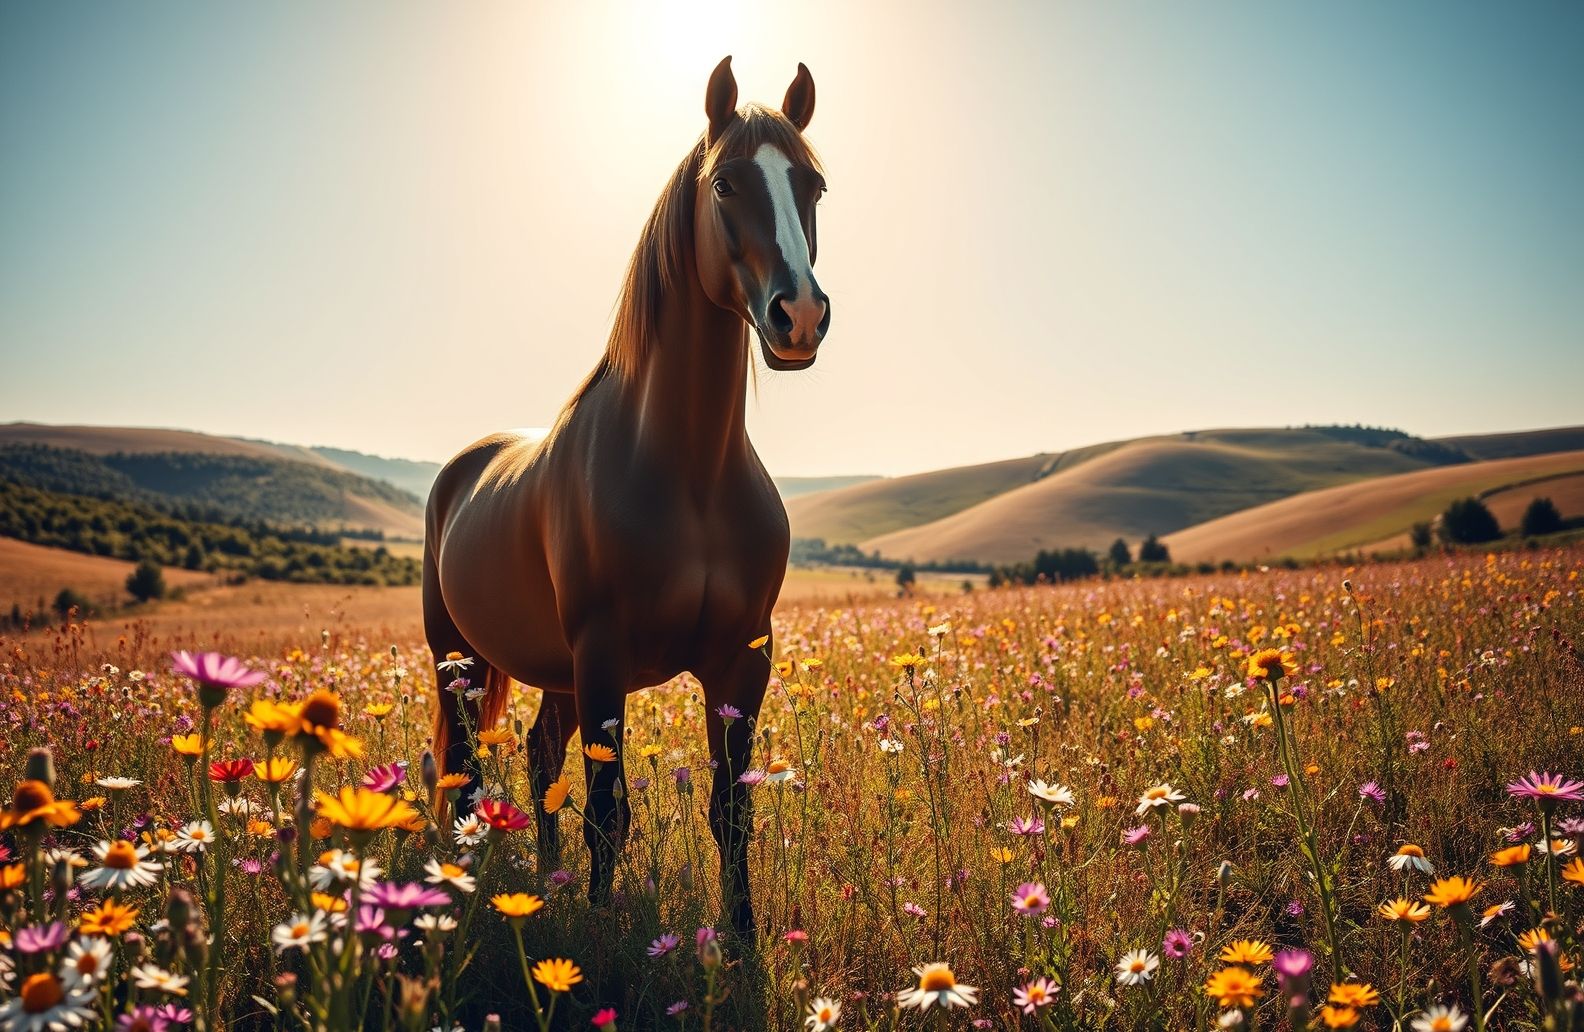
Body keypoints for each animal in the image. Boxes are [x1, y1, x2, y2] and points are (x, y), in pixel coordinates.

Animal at [423, 56, 829, 936]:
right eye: (725, 184)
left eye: (813, 185)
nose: (800, 316)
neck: (690, 472)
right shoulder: (604, 654)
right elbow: (609, 813)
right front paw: (603, 937)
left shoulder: (741, 661)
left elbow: (730, 812)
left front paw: (742, 946)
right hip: (459, 660)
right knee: (464, 772)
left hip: (555, 673)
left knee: (539, 754)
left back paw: (542, 883)